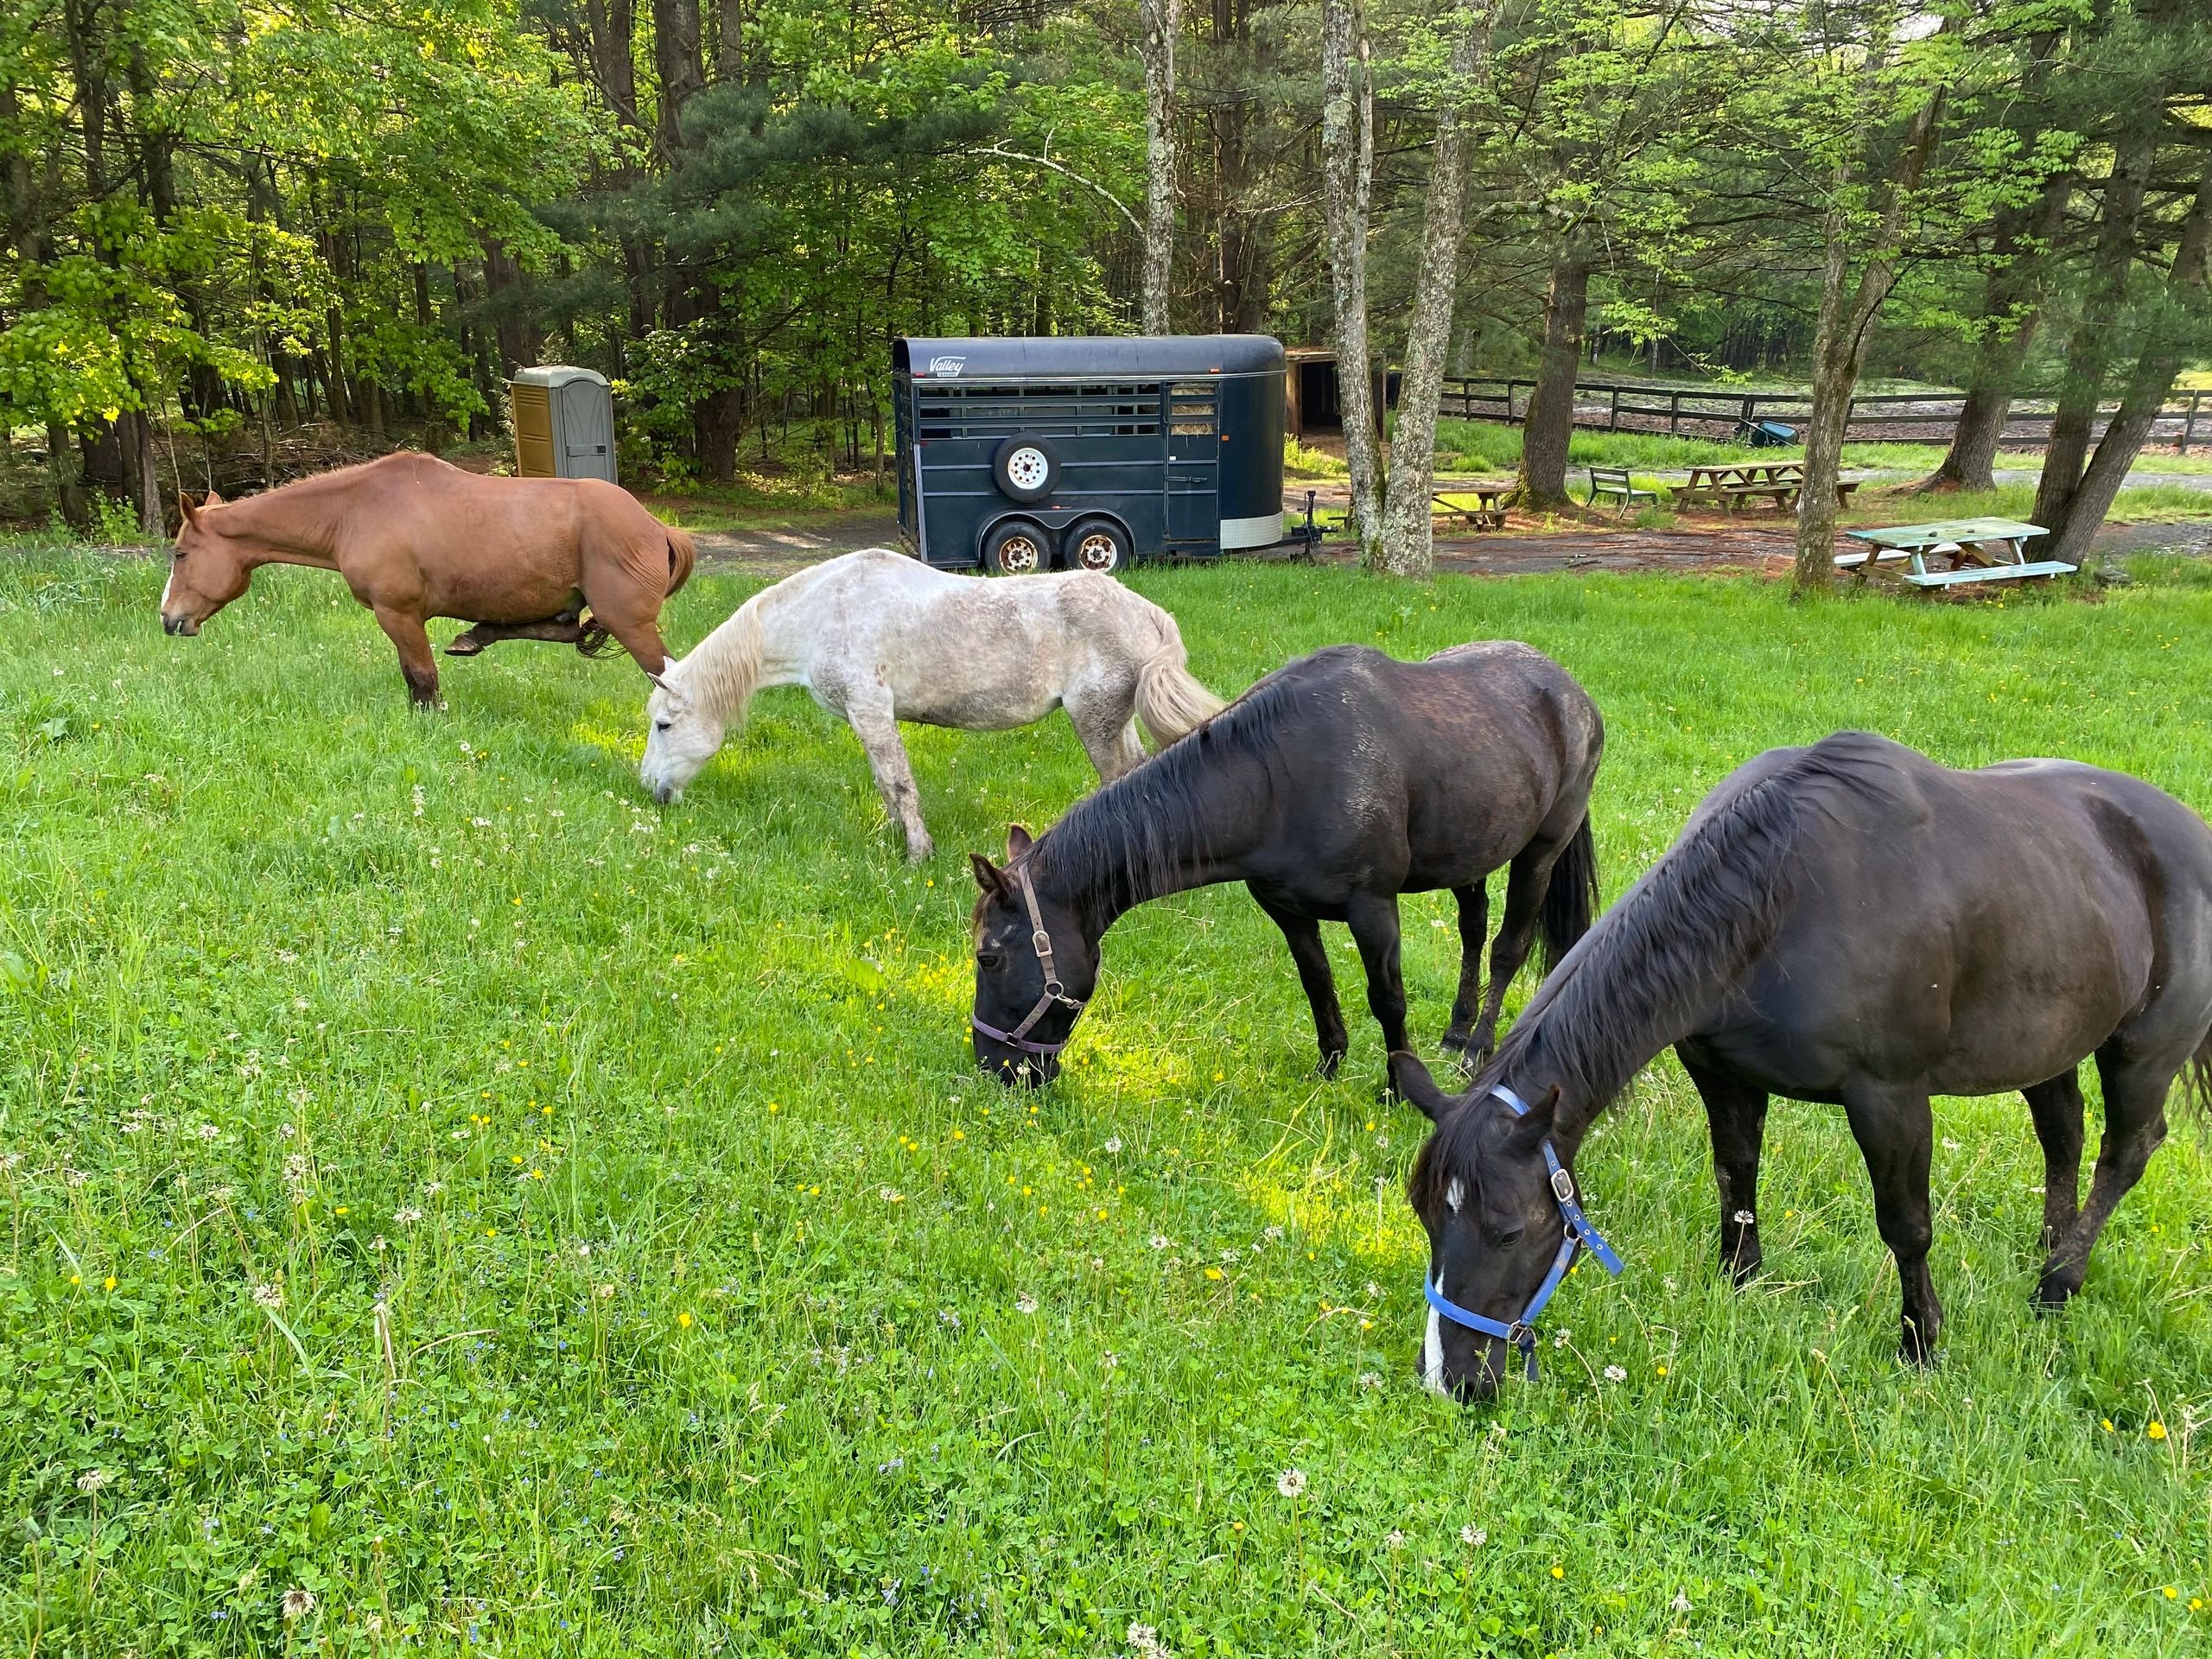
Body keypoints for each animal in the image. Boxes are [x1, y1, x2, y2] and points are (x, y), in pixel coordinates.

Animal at [159, 453, 695, 706]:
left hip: (630, 625)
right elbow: (414, 679)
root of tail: (657, 527)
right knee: (563, 628)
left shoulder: (397, 614)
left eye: (181, 553)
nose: (168, 619)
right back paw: (476, 635)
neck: (355, 510)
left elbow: (423, 679)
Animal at [638, 549, 1224, 862]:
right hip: (1115, 719)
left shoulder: (871, 709)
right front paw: (894, 838)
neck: (825, 613)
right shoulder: (865, 719)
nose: (650, 789)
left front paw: (919, 853)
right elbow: (885, 782)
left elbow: (899, 783)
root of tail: (1145, 611)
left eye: (664, 725)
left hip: (1095, 720)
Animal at [968, 641, 1604, 1087]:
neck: (1278, 782)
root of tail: (1571, 693)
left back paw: (1476, 1052)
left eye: (988, 957)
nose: (993, 1065)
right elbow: (1317, 983)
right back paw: (1454, 1032)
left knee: (1507, 949)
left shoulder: (1374, 910)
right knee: (1473, 932)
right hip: (1468, 856)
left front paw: (1399, 1086)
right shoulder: (1287, 911)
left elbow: (1387, 997)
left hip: (1540, 853)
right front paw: (1330, 1067)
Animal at [1395, 729, 2212, 1402]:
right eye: (1428, 1218)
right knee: (2064, 1137)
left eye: (1508, 1232)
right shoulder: (1724, 1076)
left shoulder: (1890, 1098)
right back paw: (2051, 1249)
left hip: (2140, 1054)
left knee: (2126, 1152)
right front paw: (1741, 1281)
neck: (1778, 893)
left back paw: (2058, 1283)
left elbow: (1907, 1227)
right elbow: (1736, 1177)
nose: (1448, 1380)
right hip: (2050, 1043)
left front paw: (1921, 1344)